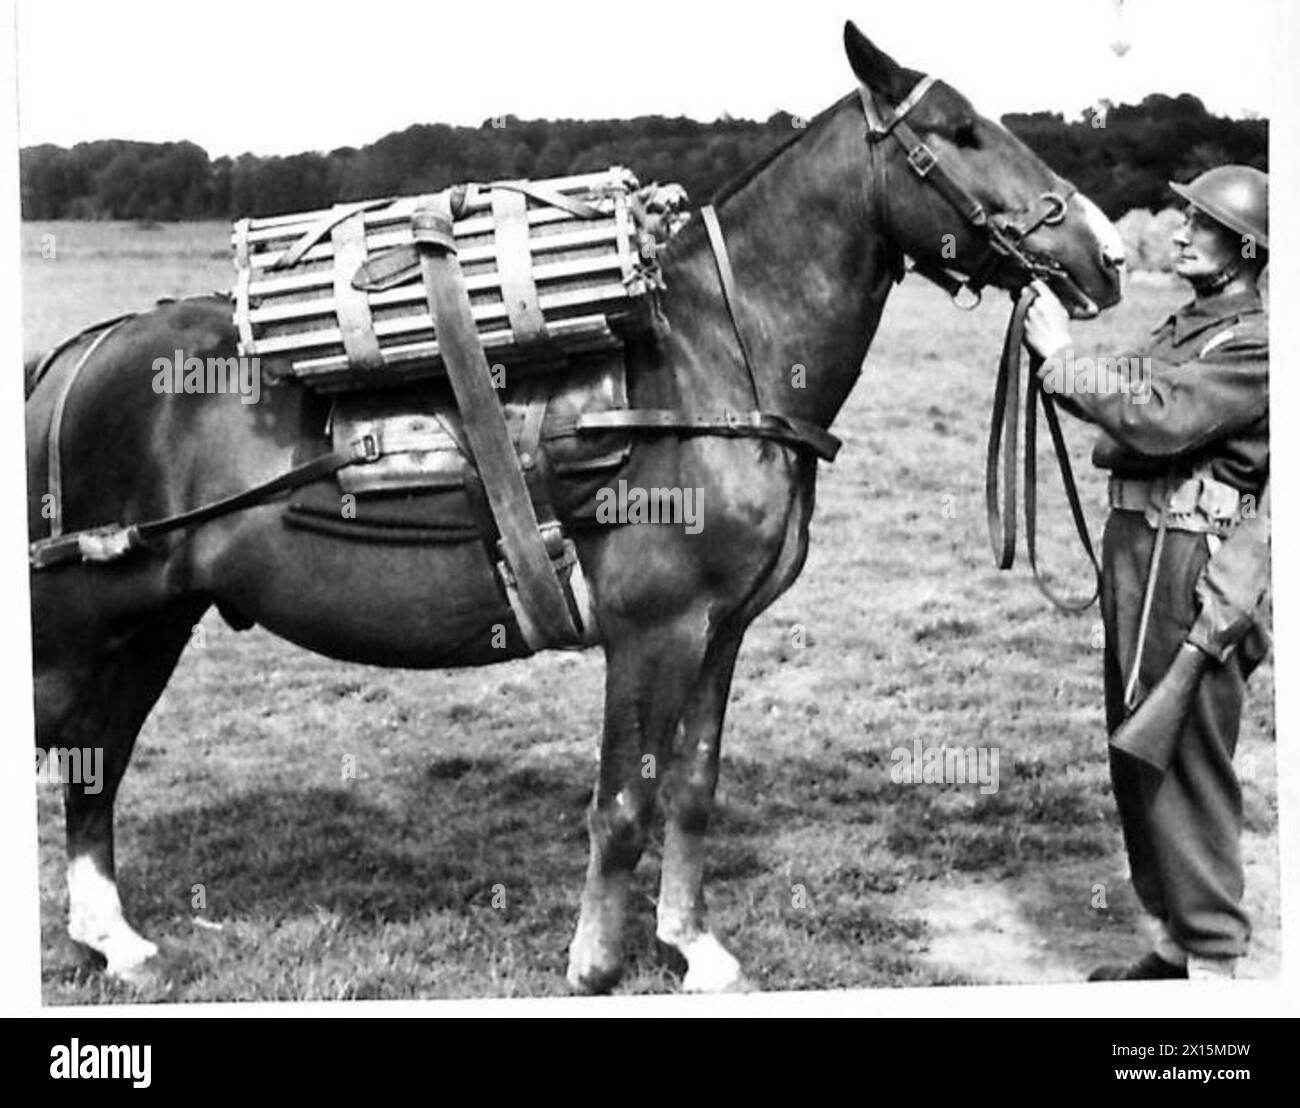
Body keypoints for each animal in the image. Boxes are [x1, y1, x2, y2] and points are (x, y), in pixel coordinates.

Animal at [27, 22, 1124, 995]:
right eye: (957, 131)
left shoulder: (718, 632)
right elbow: (623, 802)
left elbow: (690, 791)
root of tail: (75, 356)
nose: (1107, 254)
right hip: (79, 628)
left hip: (150, 624)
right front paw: (597, 961)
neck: (713, 363)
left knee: (97, 764)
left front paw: (694, 948)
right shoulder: (653, 630)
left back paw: (115, 940)